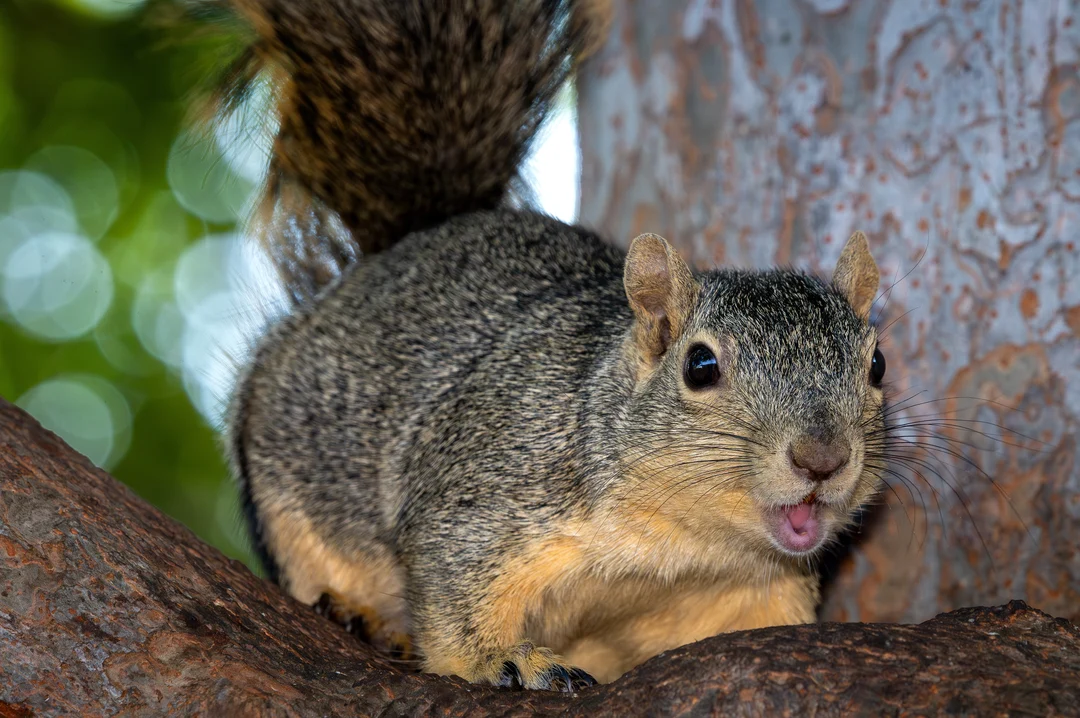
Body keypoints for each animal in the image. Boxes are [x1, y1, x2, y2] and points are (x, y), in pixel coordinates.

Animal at [194, 0, 889, 692]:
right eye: (701, 366)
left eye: (877, 364)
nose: (822, 459)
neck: (687, 544)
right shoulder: (485, 494)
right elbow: (452, 593)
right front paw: (497, 660)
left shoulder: (758, 592)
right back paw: (358, 614)